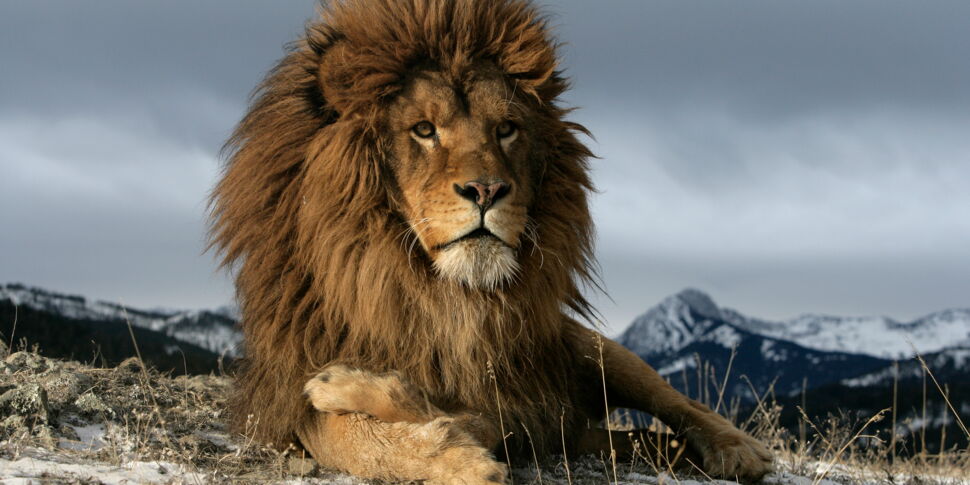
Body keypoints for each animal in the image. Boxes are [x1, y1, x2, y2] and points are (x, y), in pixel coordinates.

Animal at [210, 0, 773, 483]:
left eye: (506, 129)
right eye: (423, 129)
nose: (487, 190)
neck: (438, 295)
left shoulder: (517, 397)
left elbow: (466, 415)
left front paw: (428, 433)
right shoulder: (287, 394)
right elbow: (353, 439)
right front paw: (450, 454)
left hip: (596, 351)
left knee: (683, 403)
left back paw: (738, 450)